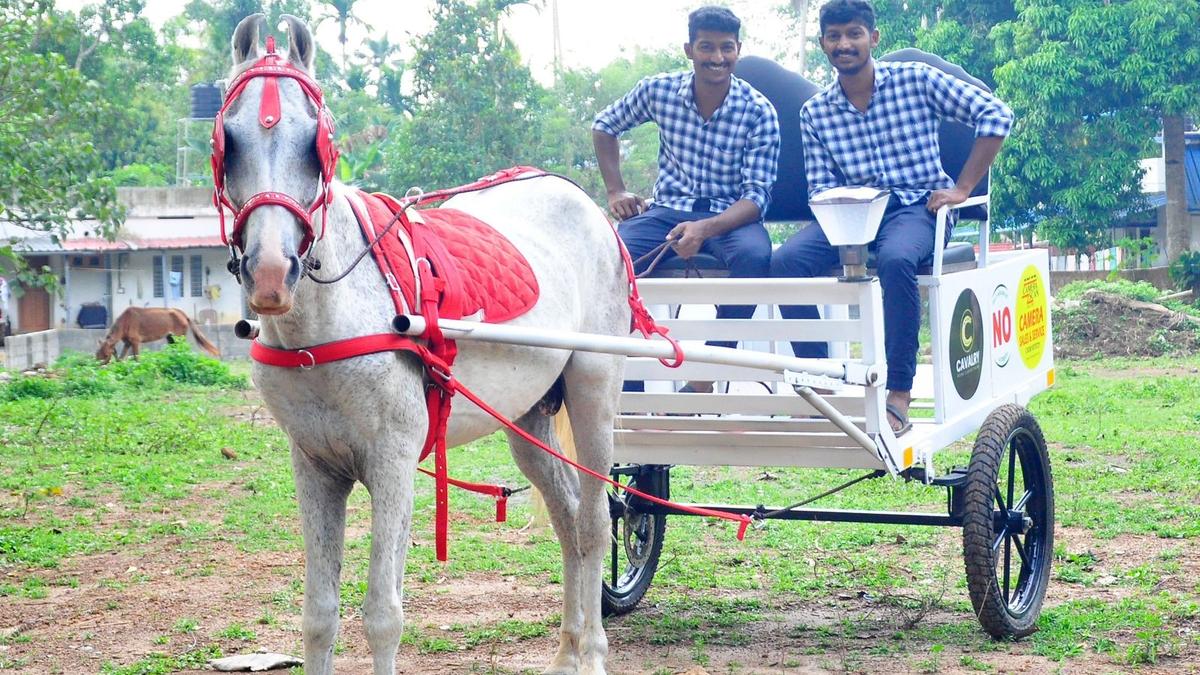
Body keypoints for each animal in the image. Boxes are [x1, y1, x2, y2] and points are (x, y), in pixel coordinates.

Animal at [214, 14, 627, 674]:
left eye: (315, 143)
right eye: (229, 139)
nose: (272, 273)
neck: (326, 330)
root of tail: (587, 205)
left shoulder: (393, 460)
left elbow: (382, 615)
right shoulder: (313, 464)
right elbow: (318, 616)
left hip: (593, 390)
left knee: (592, 522)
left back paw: (590, 652)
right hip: (527, 418)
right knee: (566, 518)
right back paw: (567, 652)